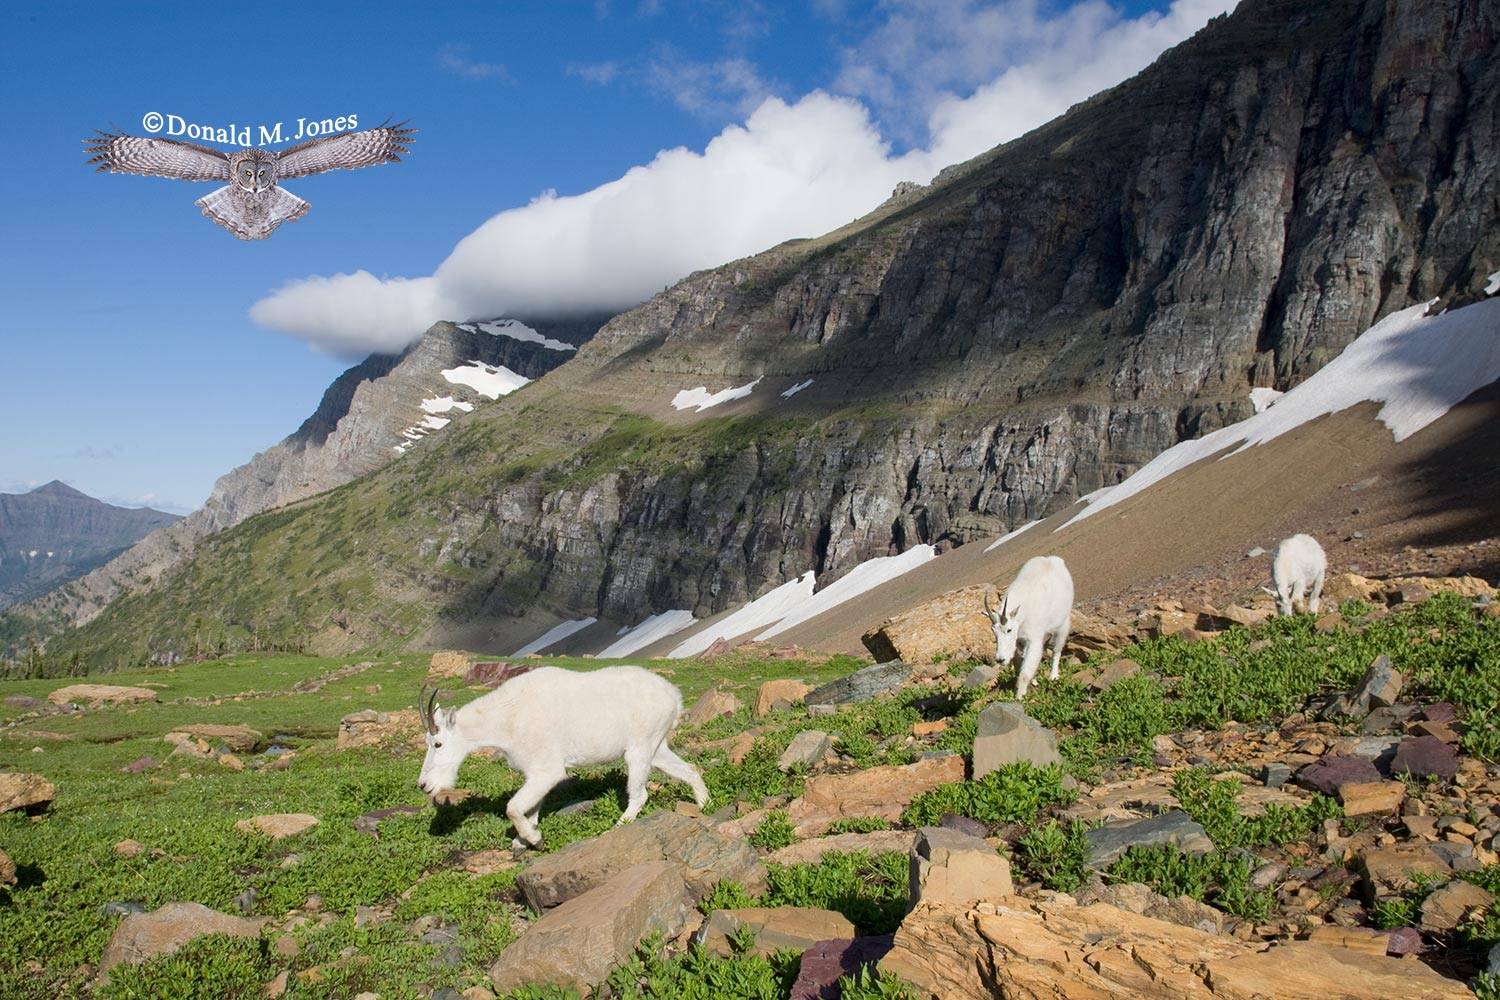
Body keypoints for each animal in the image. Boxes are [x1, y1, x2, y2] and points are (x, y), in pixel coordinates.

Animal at [415, 665, 709, 849]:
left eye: (438, 743)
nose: (424, 785)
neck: (507, 719)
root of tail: (674, 696)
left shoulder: (548, 770)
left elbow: (512, 808)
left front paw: (535, 840)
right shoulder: (534, 773)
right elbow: (530, 810)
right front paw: (525, 840)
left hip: (639, 748)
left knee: (640, 794)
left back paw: (615, 828)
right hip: (656, 747)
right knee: (690, 769)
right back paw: (705, 805)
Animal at [985, 555, 1074, 698]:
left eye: (1009, 629)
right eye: (994, 631)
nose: (1000, 659)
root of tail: (1057, 560)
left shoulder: (1033, 639)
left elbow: (1025, 672)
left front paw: (1019, 697)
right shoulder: (1020, 640)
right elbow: (1021, 662)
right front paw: (1032, 682)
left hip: (1063, 624)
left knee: (1057, 650)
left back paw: (1054, 676)